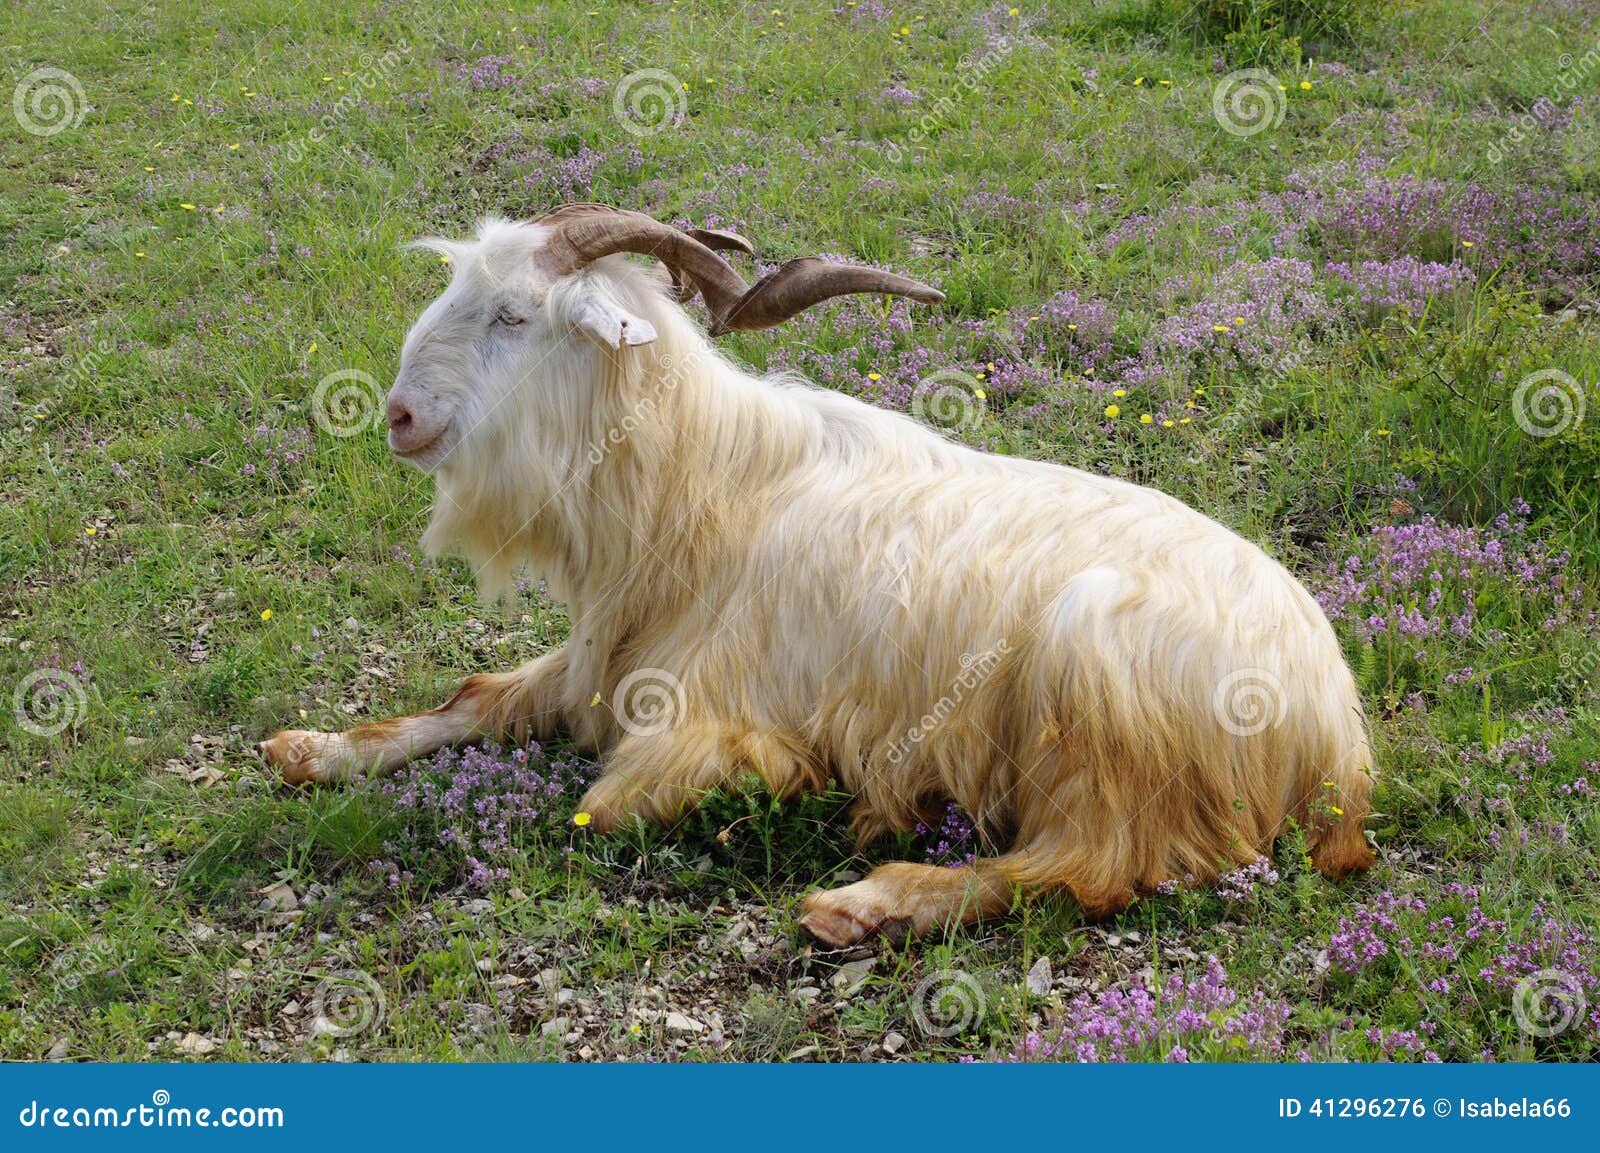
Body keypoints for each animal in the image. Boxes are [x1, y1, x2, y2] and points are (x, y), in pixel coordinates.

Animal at [261, 205, 1374, 946]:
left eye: (514, 316)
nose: (400, 414)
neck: (709, 488)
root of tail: (1335, 731)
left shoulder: (702, 715)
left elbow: (598, 804)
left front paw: (792, 795)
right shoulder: (597, 661)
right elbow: (475, 698)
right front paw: (312, 749)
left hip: (1092, 673)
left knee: (1094, 865)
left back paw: (864, 898)